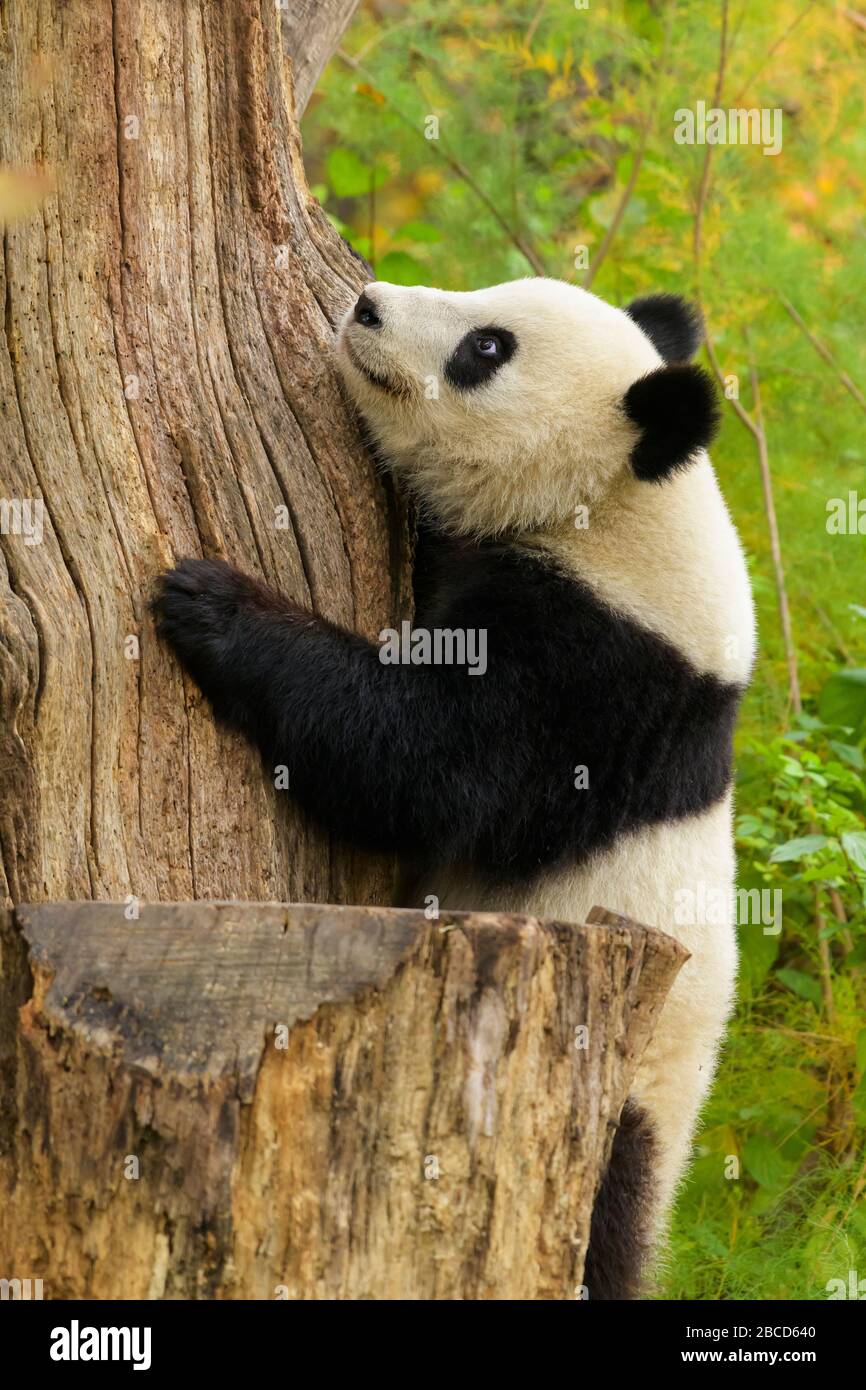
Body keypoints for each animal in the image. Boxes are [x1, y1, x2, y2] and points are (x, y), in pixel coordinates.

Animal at [153, 276, 755, 1300]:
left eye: (486, 348)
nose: (366, 303)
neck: (626, 505)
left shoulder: (597, 671)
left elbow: (425, 765)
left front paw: (213, 604)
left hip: (627, 1090)